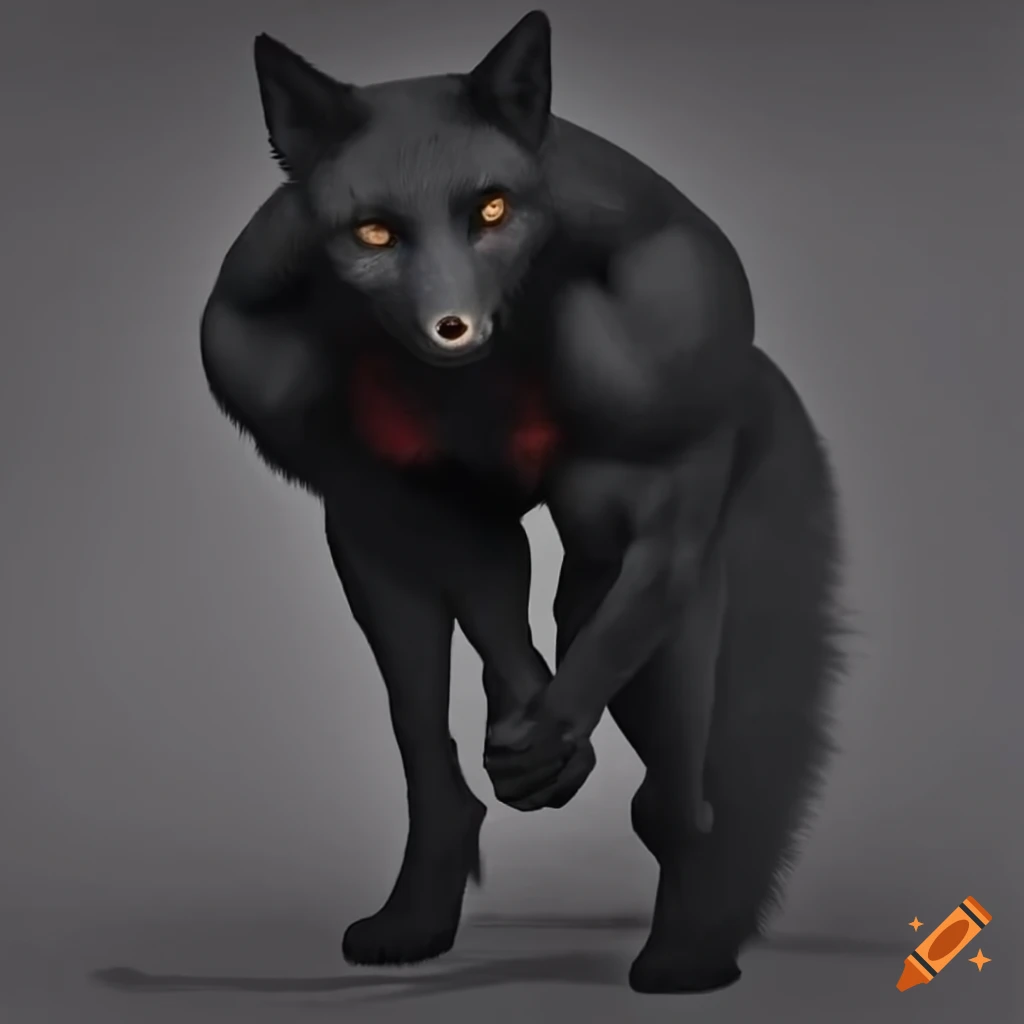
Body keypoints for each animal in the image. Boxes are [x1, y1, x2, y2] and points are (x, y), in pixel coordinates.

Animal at [200, 10, 846, 995]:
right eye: (374, 233)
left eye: (492, 210)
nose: (452, 328)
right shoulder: (385, 481)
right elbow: (485, 613)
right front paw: (533, 747)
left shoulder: (654, 461)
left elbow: (613, 639)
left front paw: (555, 748)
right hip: (371, 548)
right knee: (432, 746)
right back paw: (416, 915)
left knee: (679, 776)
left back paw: (688, 947)